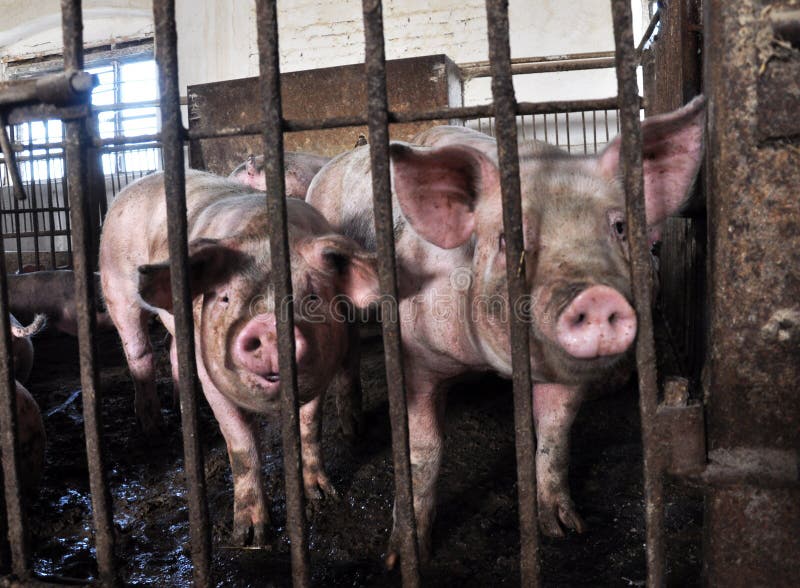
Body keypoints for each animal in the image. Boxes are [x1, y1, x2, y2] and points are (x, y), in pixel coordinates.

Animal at [99, 170, 378, 545]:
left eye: (313, 298)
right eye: (225, 298)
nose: (270, 326)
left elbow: (310, 426)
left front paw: (322, 496)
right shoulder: (211, 375)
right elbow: (242, 446)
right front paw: (250, 537)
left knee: (174, 352)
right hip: (117, 290)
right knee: (139, 352)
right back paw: (153, 428)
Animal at [306, 96, 706, 565]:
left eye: (620, 227)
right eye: (508, 240)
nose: (596, 296)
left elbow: (555, 433)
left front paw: (564, 529)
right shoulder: (415, 353)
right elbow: (424, 450)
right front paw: (405, 556)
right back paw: (347, 444)